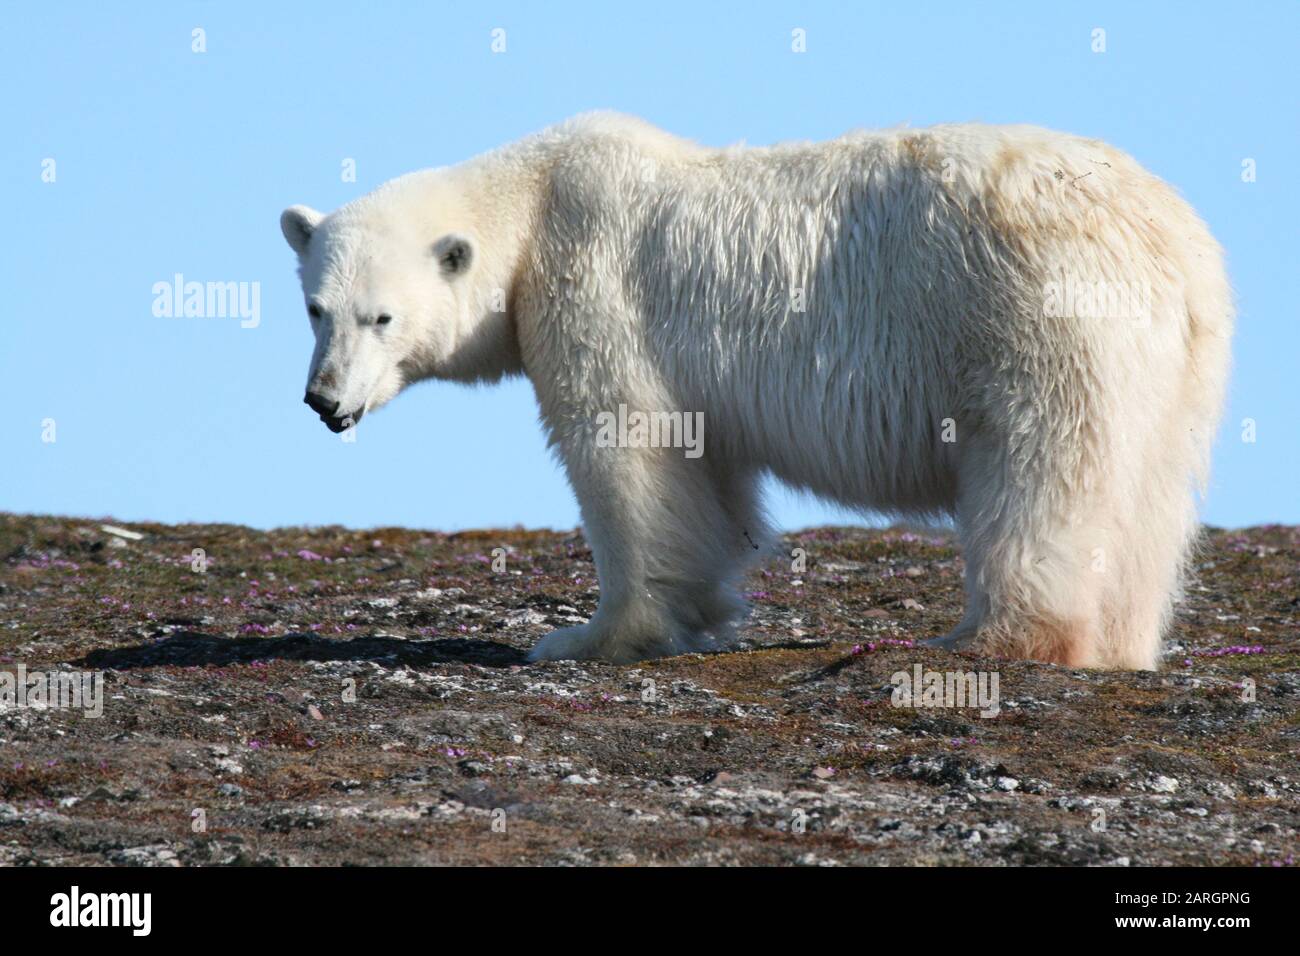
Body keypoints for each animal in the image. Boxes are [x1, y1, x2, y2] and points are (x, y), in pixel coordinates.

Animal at [280, 112, 1233, 670]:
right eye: (314, 308)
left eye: (381, 317)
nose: (324, 401)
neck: (535, 200)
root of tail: (1176, 243)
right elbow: (710, 481)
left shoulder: (592, 287)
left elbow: (629, 454)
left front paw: (589, 635)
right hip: (1178, 370)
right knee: (1146, 502)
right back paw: (1122, 642)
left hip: (1037, 316)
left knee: (1041, 468)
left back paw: (996, 633)